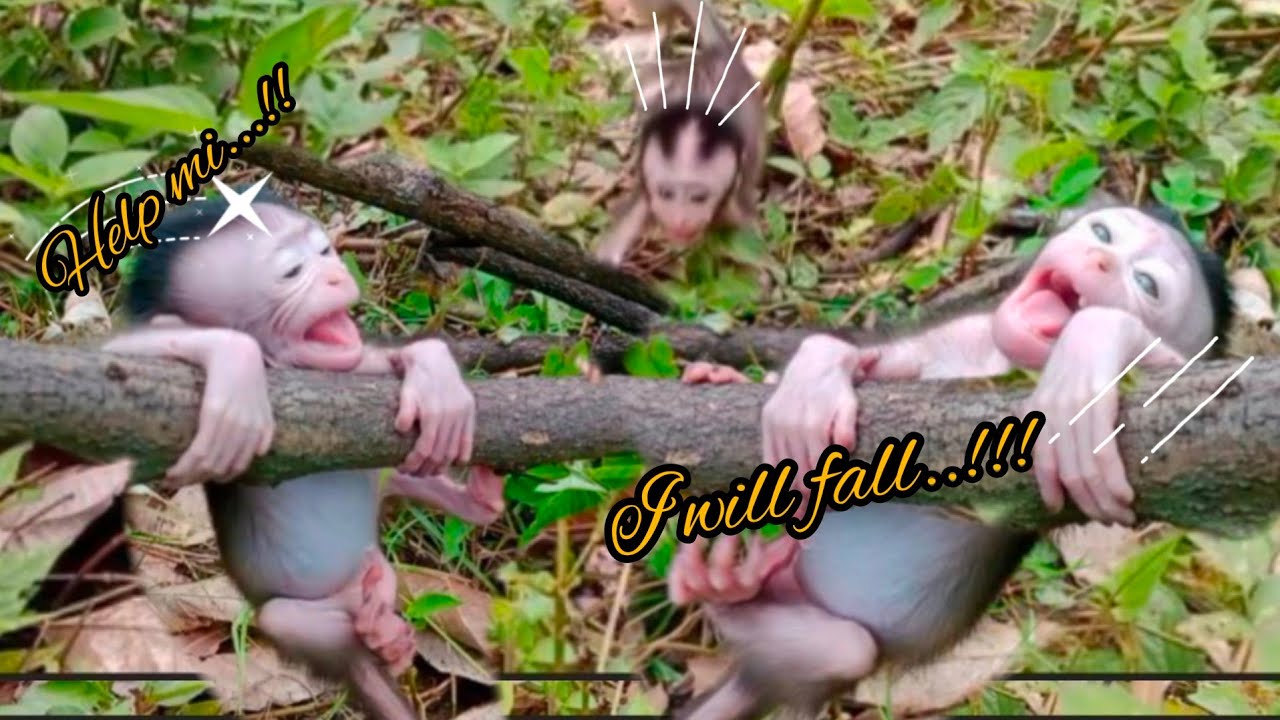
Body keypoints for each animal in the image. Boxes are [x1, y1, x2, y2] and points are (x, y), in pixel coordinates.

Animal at [103, 187, 505, 720]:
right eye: (293, 272)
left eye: (325, 253)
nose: (336, 275)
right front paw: (235, 363)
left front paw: (433, 372)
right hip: (302, 615)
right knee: (294, 621)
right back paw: (379, 630)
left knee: (391, 479)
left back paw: (477, 503)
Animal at [669, 203, 1235, 719]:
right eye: (1102, 233)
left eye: (1146, 283)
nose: (1098, 259)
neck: (1001, 360)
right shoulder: (969, 332)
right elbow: (890, 359)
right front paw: (817, 371)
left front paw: (1093, 347)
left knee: (847, 650)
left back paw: (728, 593)